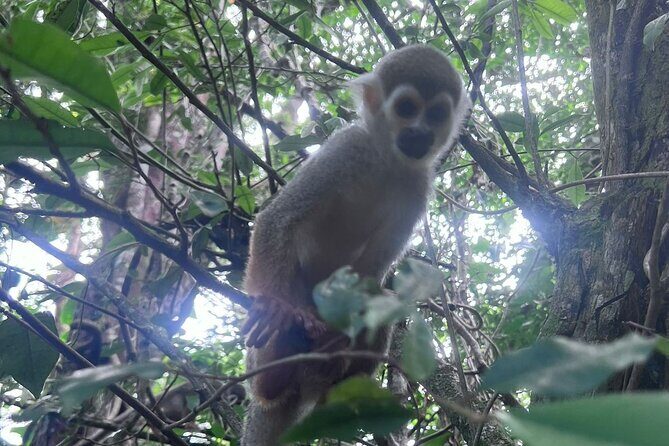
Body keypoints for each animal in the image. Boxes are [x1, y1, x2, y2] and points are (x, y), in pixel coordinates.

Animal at [241, 44, 470, 445]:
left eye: (437, 113)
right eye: (406, 108)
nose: (420, 132)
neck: (387, 159)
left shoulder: (419, 185)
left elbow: (373, 269)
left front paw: (338, 334)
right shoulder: (347, 147)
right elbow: (277, 220)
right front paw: (273, 305)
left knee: (384, 298)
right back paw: (274, 370)